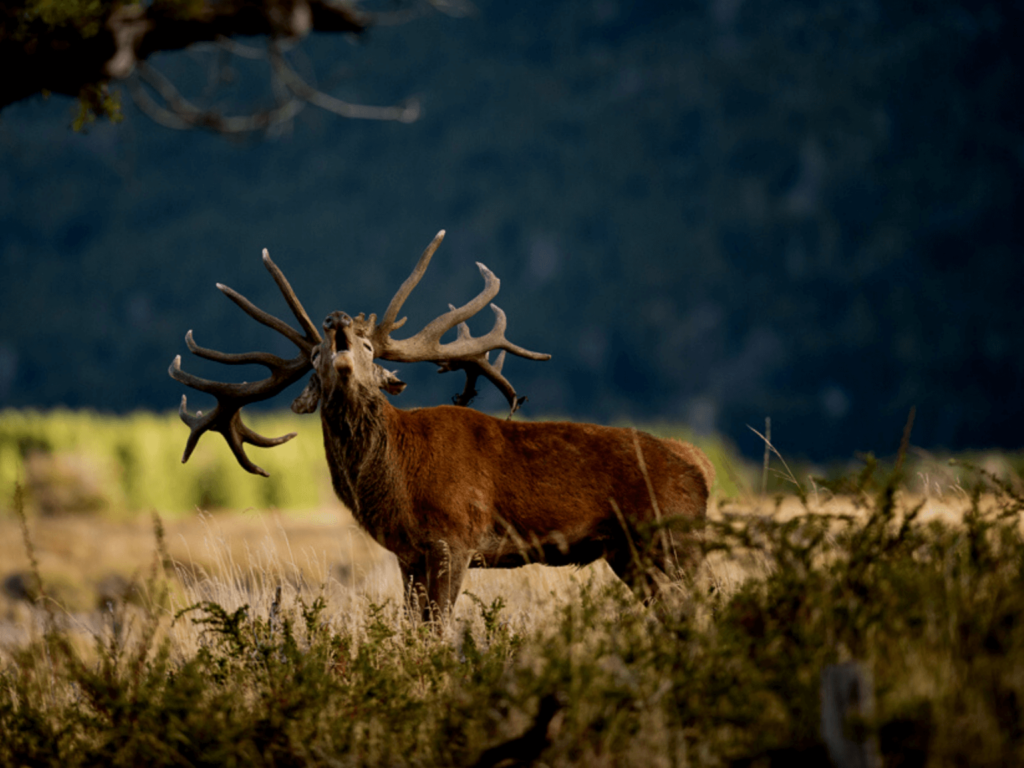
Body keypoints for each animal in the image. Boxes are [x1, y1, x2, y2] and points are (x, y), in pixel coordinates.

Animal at [169, 230, 715, 622]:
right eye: (319, 353)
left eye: (368, 347)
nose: (338, 320)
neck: (398, 483)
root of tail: (701, 465)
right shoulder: (408, 554)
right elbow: (413, 627)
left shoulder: (455, 536)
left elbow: (439, 628)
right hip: (629, 552)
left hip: (672, 535)